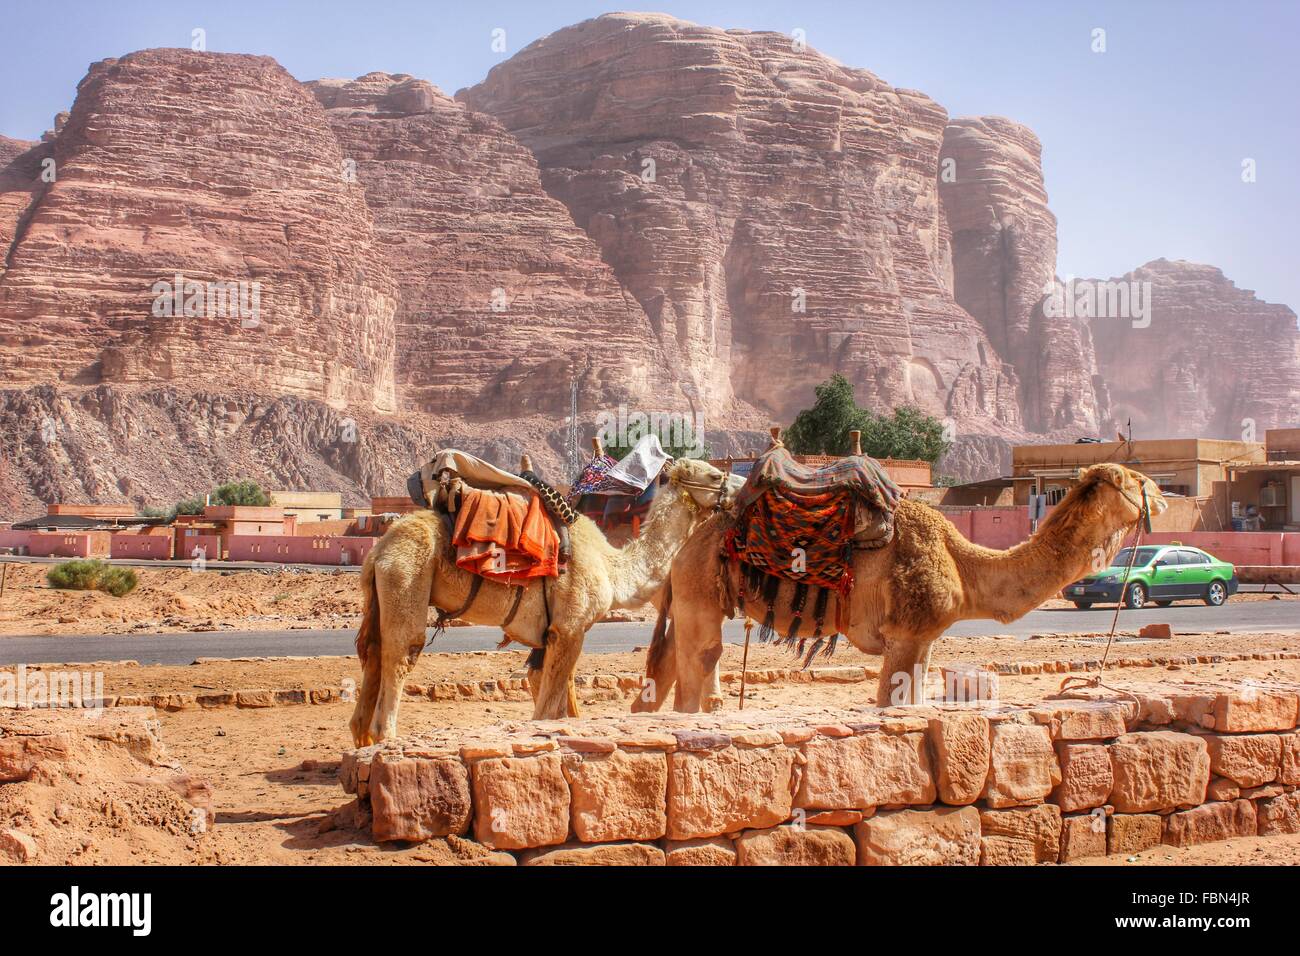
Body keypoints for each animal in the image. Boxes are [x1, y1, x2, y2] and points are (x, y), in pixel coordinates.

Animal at [349, 456, 734, 746]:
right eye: (715, 475)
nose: (736, 491)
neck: (612, 569)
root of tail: (378, 553)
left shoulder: (549, 634)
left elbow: (551, 698)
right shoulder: (570, 627)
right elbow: (548, 709)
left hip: (380, 595)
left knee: (373, 654)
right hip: (405, 578)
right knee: (402, 653)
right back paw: (385, 742)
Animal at [636, 462, 1167, 713]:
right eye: (1135, 479)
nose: (1163, 495)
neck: (964, 565)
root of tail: (684, 547)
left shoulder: (925, 639)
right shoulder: (906, 633)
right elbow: (891, 701)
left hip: (692, 597)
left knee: (674, 663)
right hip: (699, 591)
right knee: (699, 663)